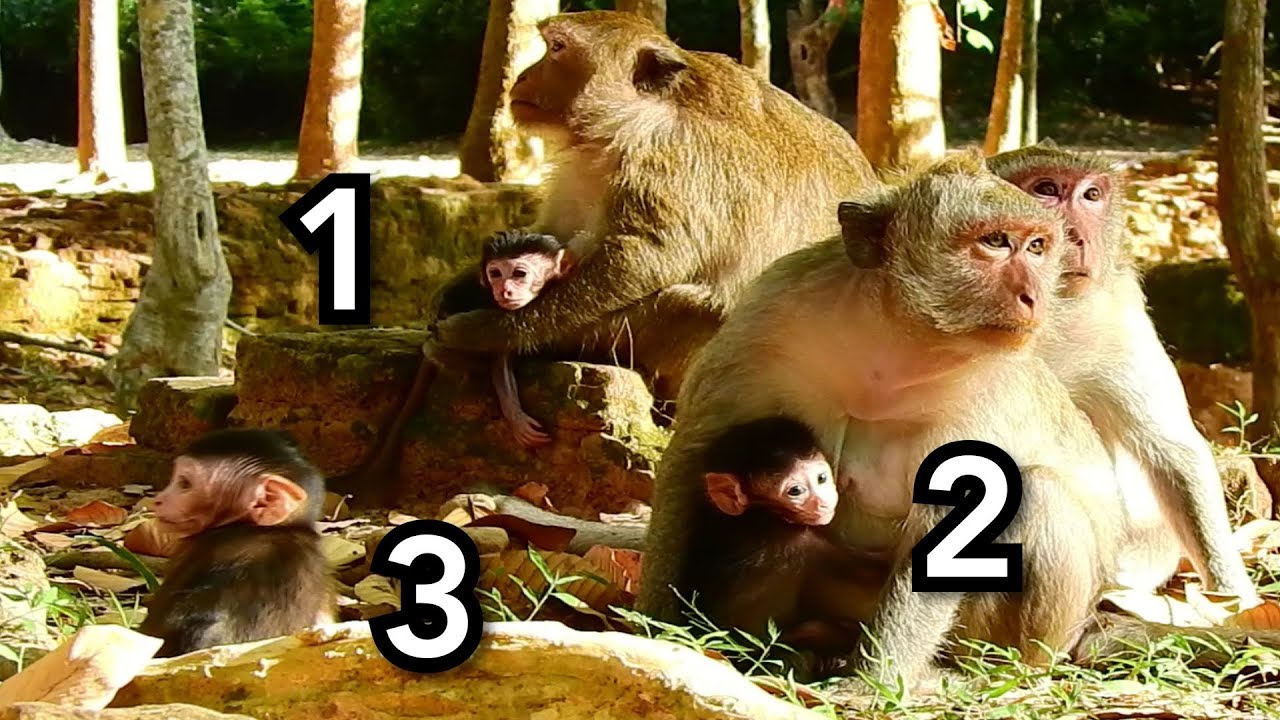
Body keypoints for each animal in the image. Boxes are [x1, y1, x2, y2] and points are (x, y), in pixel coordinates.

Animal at [332, 10, 881, 502]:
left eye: (556, 49)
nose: (523, 76)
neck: (632, 118)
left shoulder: (664, 159)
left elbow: (641, 259)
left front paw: (483, 331)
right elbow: (552, 236)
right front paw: (454, 291)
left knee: (694, 307)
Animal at [638, 153, 1146, 689]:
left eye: (1036, 246)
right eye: (995, 241)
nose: (1034, 296)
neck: (898, 341)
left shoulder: (981, 392)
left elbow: (954, 527)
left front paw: (871, 685)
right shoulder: (770, 309)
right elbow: (697, 449)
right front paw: (658, 627)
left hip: (1047, 632)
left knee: (1038, 494)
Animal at [987, 141, 1261, 607]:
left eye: (1092, 196)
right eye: (1046, 189)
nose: (1079, 237)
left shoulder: (1119, 321)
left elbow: (1173, 452)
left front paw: (1233, 596)